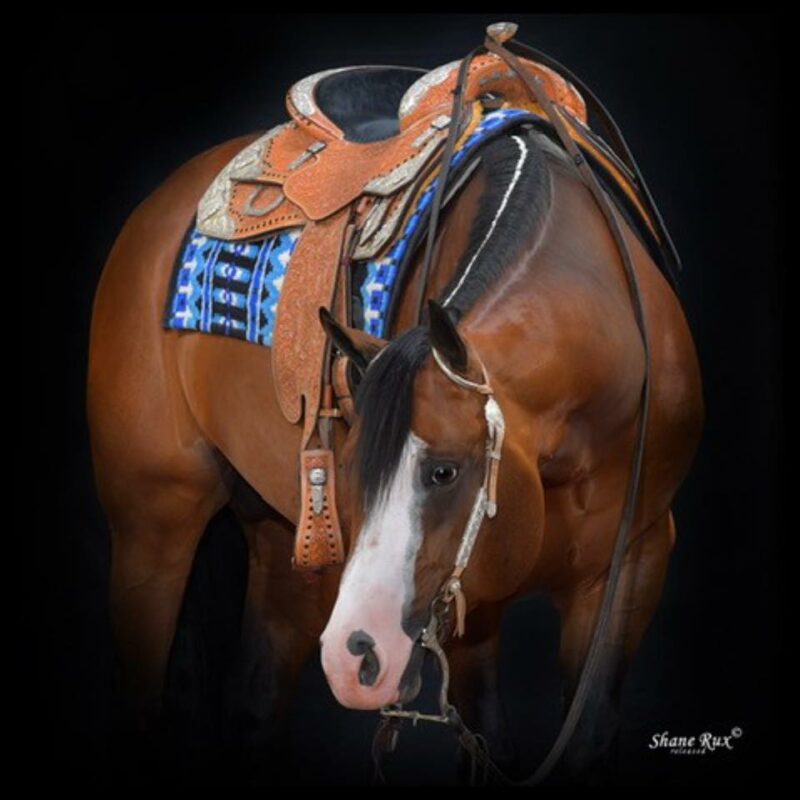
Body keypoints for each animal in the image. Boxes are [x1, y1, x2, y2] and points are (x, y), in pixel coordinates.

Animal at [87, 38, 704, 784]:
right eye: (356, 472)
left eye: (445, 472)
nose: (357, 656)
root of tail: (157, 208)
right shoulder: (472, 602)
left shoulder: (633, 562)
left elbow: (586, 739)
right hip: (154, 529)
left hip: (286, 547)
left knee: (256, 708)